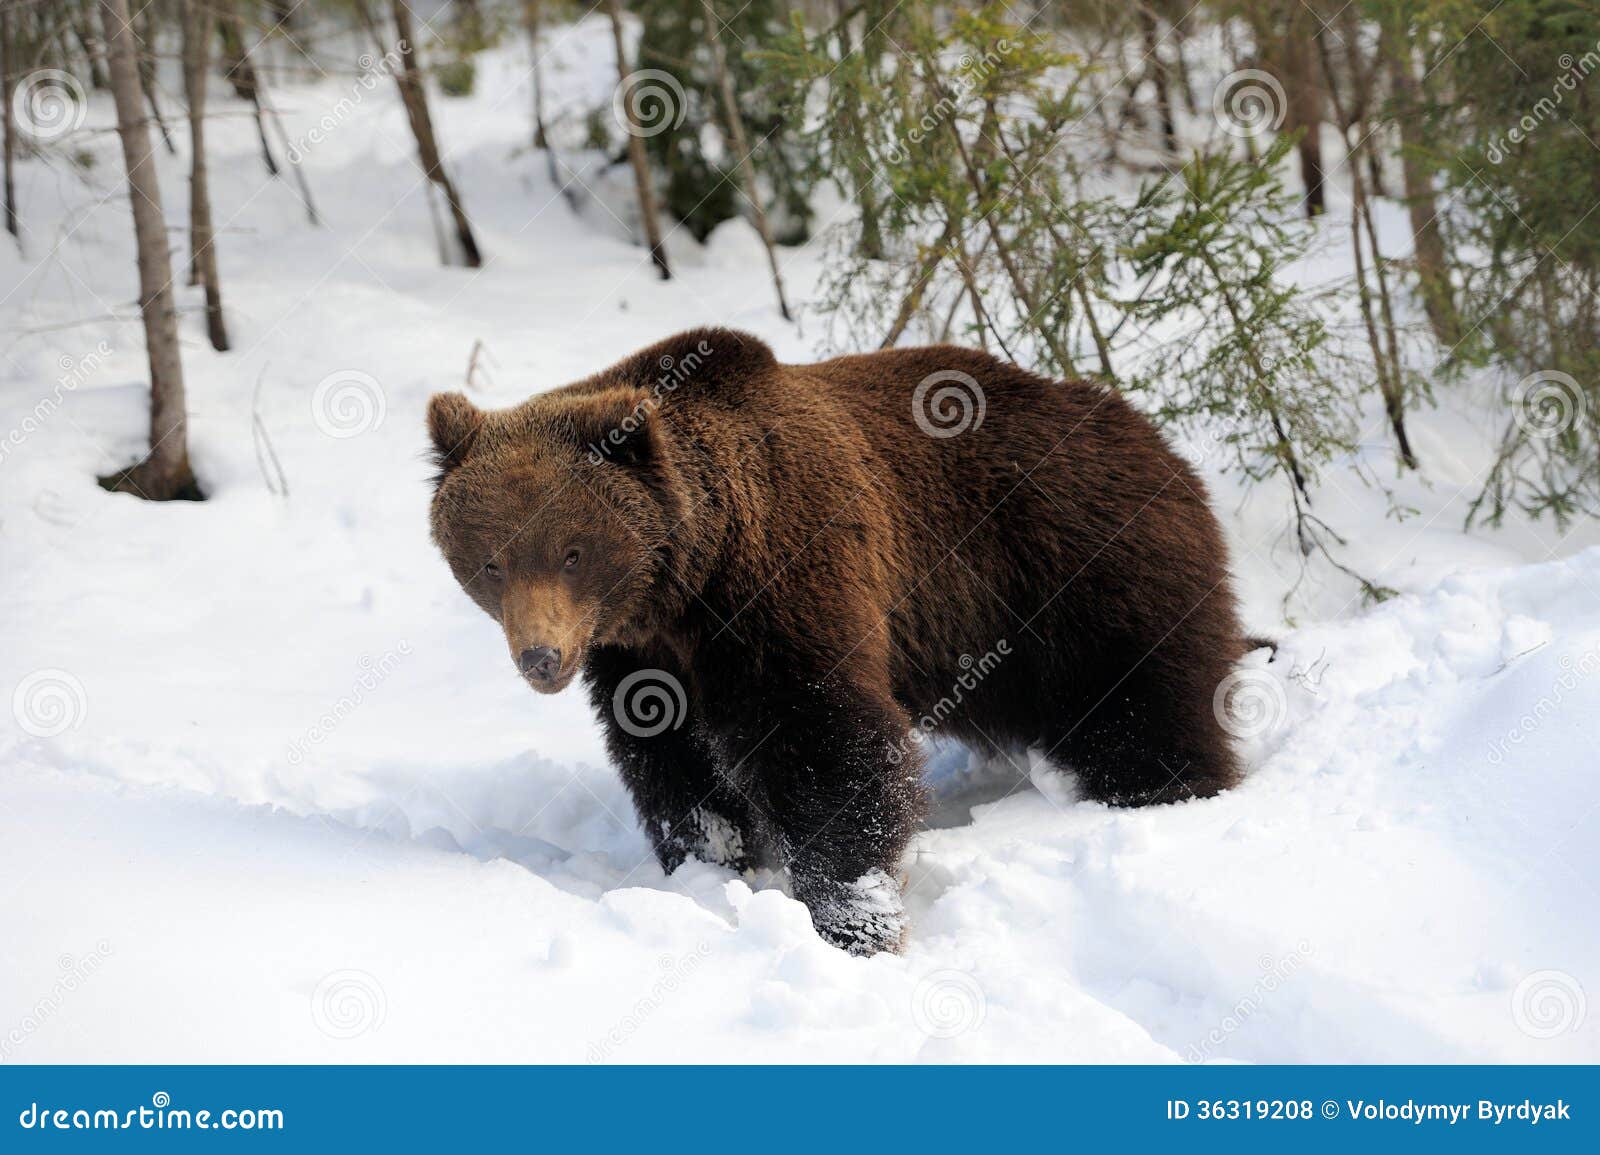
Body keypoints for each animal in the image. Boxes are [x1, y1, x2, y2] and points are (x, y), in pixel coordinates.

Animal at [427, 327, 1249, 955]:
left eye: (572, 550)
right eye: (490, 560)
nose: (541, 658)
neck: (687, 585)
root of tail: (1153, 435)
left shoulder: (787, 585)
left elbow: (829, 743)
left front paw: (853, 918)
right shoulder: (640, 657)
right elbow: (670, 759)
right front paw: (709, 863)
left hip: (1076, 564)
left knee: (1142, 697)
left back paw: (1162, 792)